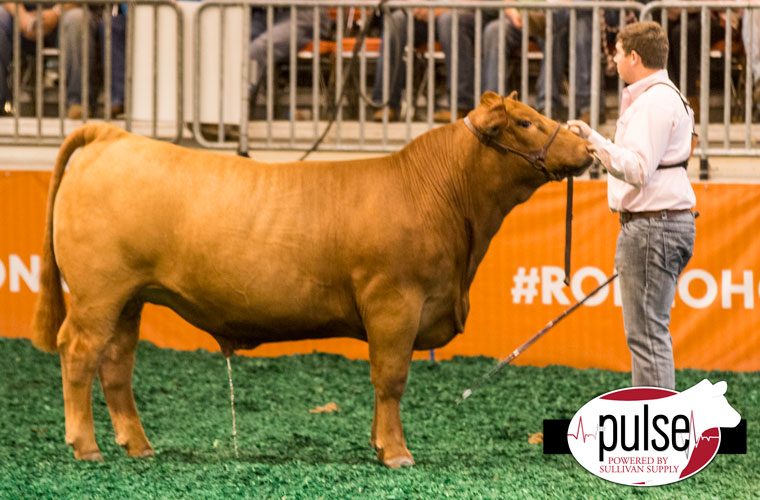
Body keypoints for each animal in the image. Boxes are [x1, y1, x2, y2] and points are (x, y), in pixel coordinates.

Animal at [32, 91, 594, 468]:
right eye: (526, 121)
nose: (585, 146)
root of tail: (114, 135)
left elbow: (382, 382)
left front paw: (377, 444)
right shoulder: (394, 301)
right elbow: (390, 378)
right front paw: (396, 452)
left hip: (130, 298)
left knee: (116, 365)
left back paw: (139, 446)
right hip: (97, 294)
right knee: (78, 354)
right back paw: (86, 447)